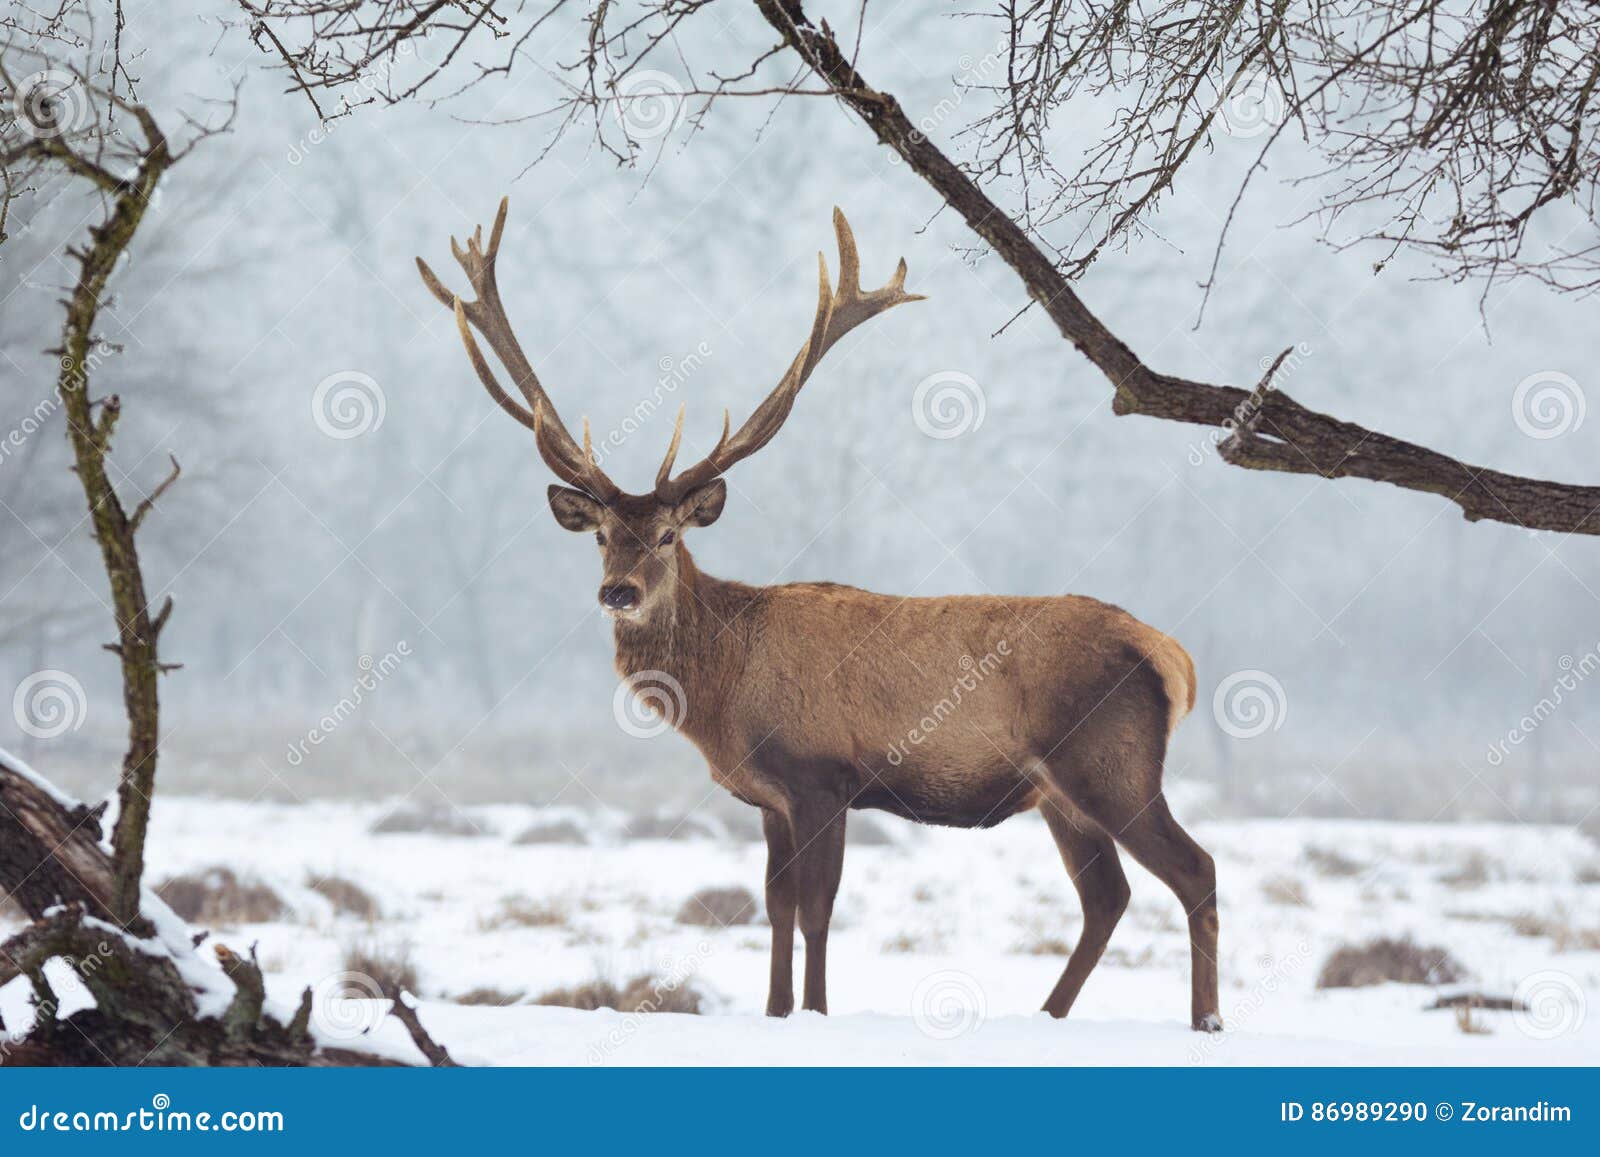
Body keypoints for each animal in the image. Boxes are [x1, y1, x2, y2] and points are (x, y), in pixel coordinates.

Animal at [417, 199, 1222, 1032]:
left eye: (669, 535)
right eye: (604, 535)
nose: (619, 592)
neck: (724, 692)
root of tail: (1172, 656)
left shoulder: (823, 776)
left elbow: (816, 911)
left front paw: (816, 1011)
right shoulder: (770, 799)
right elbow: (774, 908)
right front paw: (777, 1011)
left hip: (1111, 762)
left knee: (1194, 869)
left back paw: (1205, 1022)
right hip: (1061, 792)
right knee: (1107, 896)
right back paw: (1049, 1016)